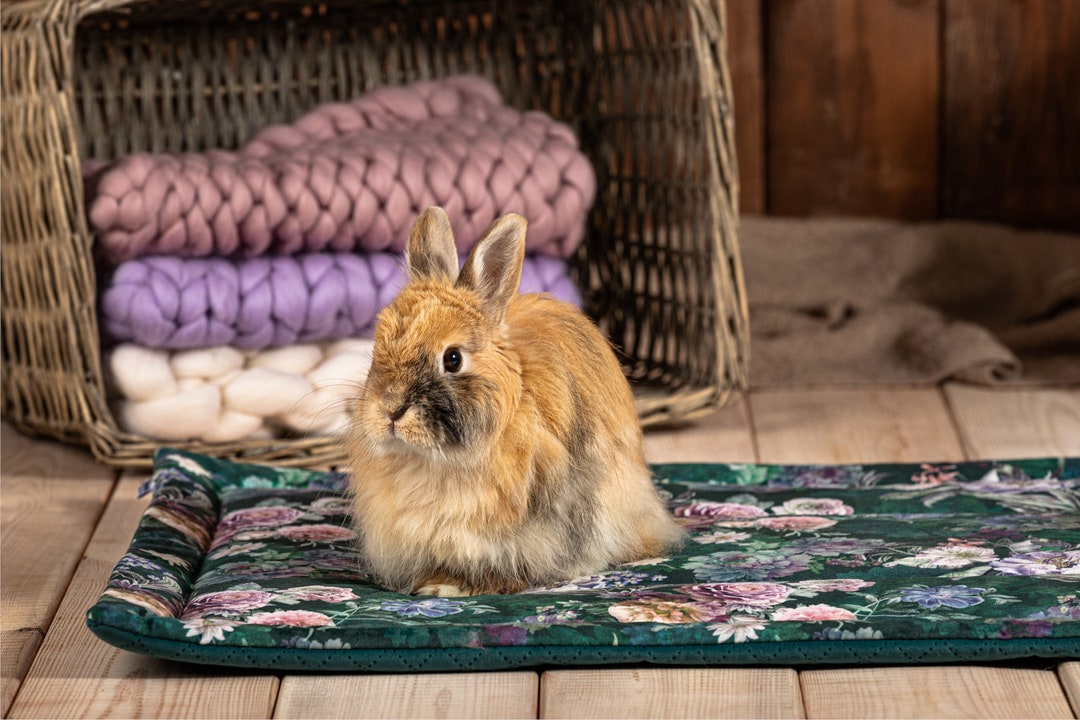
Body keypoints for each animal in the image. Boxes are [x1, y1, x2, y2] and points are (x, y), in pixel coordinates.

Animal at [347, 206, 684, 596]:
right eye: (377, 350)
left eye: (452, 359)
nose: (390, 409)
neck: (439, 459)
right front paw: (433, 581)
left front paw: (452, 586)